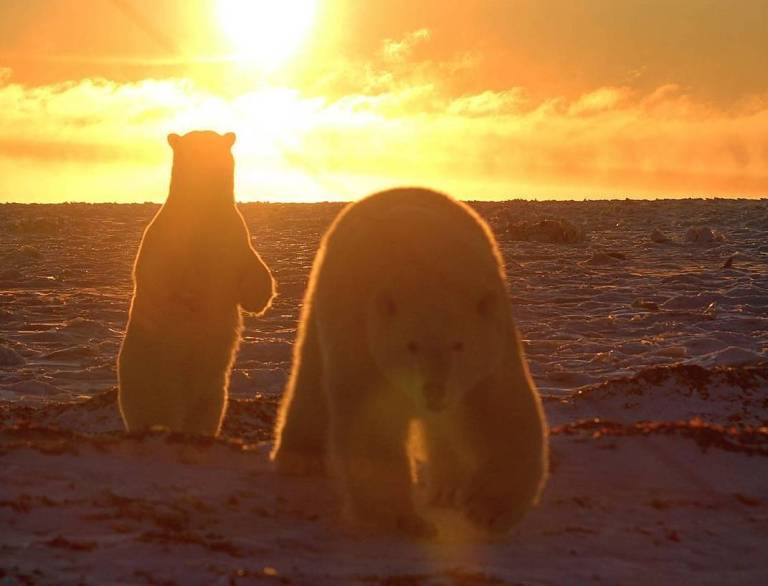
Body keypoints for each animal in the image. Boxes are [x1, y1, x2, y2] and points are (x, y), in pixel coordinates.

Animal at [118, 130, 275, 436]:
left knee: (206, 413)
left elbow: (252, 272)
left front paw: (259, 298)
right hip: (148, 376)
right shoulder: (167, 236)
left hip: (212, 392)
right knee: (160, 405)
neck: (203, 208)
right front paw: (190, 296)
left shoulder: (235, 235)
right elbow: (161, 276)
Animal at [271, 187, 548, 537]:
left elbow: (503, 412)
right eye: (410, 345)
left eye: (459, 344)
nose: (434, 392)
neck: (425, 272)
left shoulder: (491, 349)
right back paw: (301, 458)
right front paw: (404, 519)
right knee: (311, 375)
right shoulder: (363, 337)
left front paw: (487, 510)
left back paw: (447, 488)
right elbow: (371, 424)